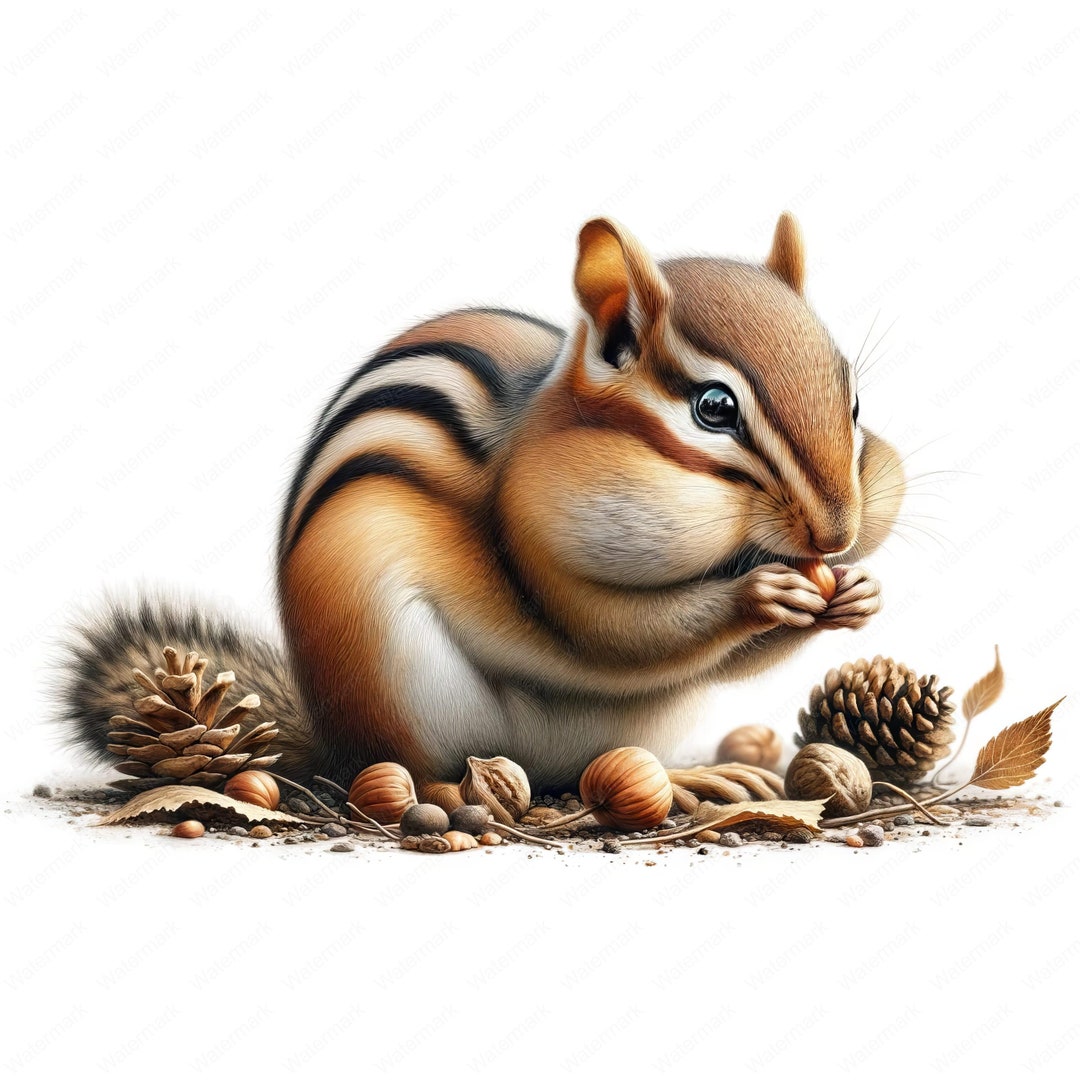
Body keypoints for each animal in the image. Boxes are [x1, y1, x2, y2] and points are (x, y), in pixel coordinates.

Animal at [60, 213, 905, 808]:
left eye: (855, 402)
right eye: (715, 408)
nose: (837, 532)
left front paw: (858, 595)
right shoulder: (535, 550)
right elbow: (616, 635)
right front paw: (758, 595)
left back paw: (692, 781)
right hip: (386, 672)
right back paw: (444, 790)